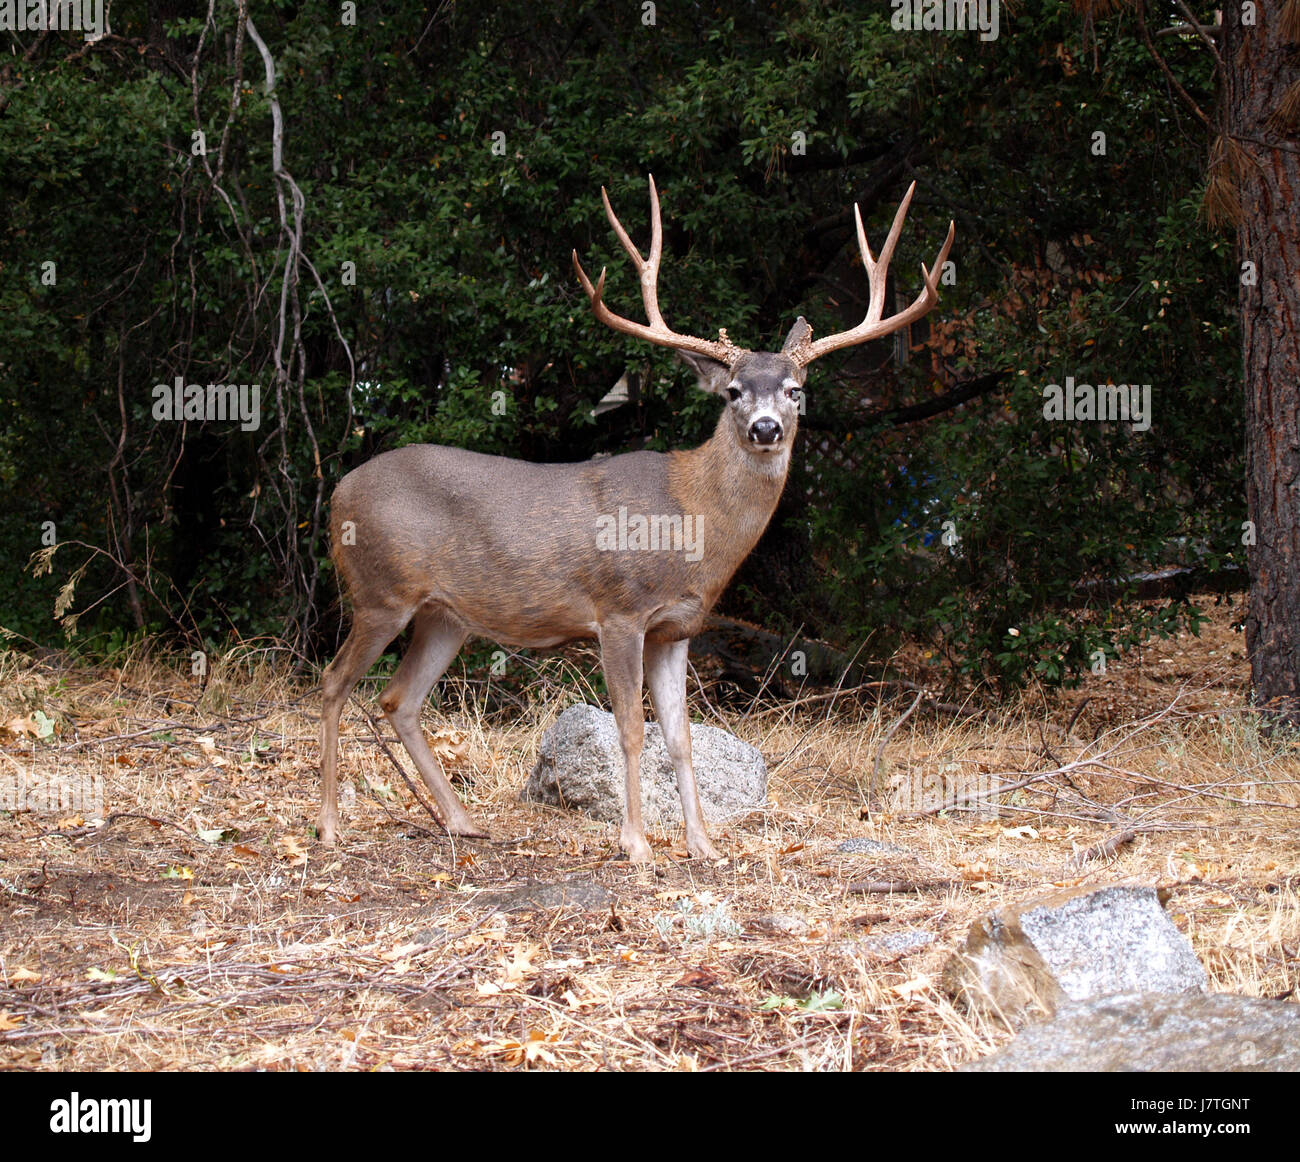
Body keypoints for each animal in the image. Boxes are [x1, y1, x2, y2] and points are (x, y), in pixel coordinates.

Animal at [317, 176, 954, 863]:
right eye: (733, 392)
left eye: (795, 390)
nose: (765, 429)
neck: (691, 521)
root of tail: (336, 493)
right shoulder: (618, 611)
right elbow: (628, 730)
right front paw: (636, 843)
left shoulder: (677, 628)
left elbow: (680, 737)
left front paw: (703, 844)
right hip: (379, 592)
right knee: (333, 682)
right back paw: (327, 826)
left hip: (444, 615)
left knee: (398, 699)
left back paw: (462, 822)